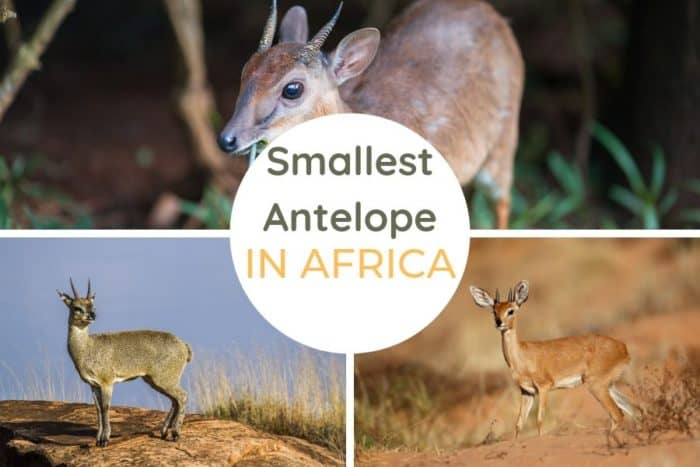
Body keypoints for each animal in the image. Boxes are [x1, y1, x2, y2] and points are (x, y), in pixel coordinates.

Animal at [57, 279, 192, 447]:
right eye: (77, 307)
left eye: (92, 306)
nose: (92, 315)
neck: (87, 348)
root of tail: (184, 346)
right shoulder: (93, 384)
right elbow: (97, 408)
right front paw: (97, 439)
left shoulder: (107, 382)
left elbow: (106, 407)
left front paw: (104, 439)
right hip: (154, 380)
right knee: (175, 400)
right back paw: (164, 432)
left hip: (165, 379)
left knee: (182, 396)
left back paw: (175, 434)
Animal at [469, 280, 638, 443]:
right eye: (494, 311)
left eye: (511, 310)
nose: (499, 323)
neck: (522, 356)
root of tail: (622, 347)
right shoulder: (527, 392)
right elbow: (519, 424)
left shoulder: (544, 387)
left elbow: (539, 420)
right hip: (609, 385)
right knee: (632, 409)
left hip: (596, 385)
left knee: (618, 414)